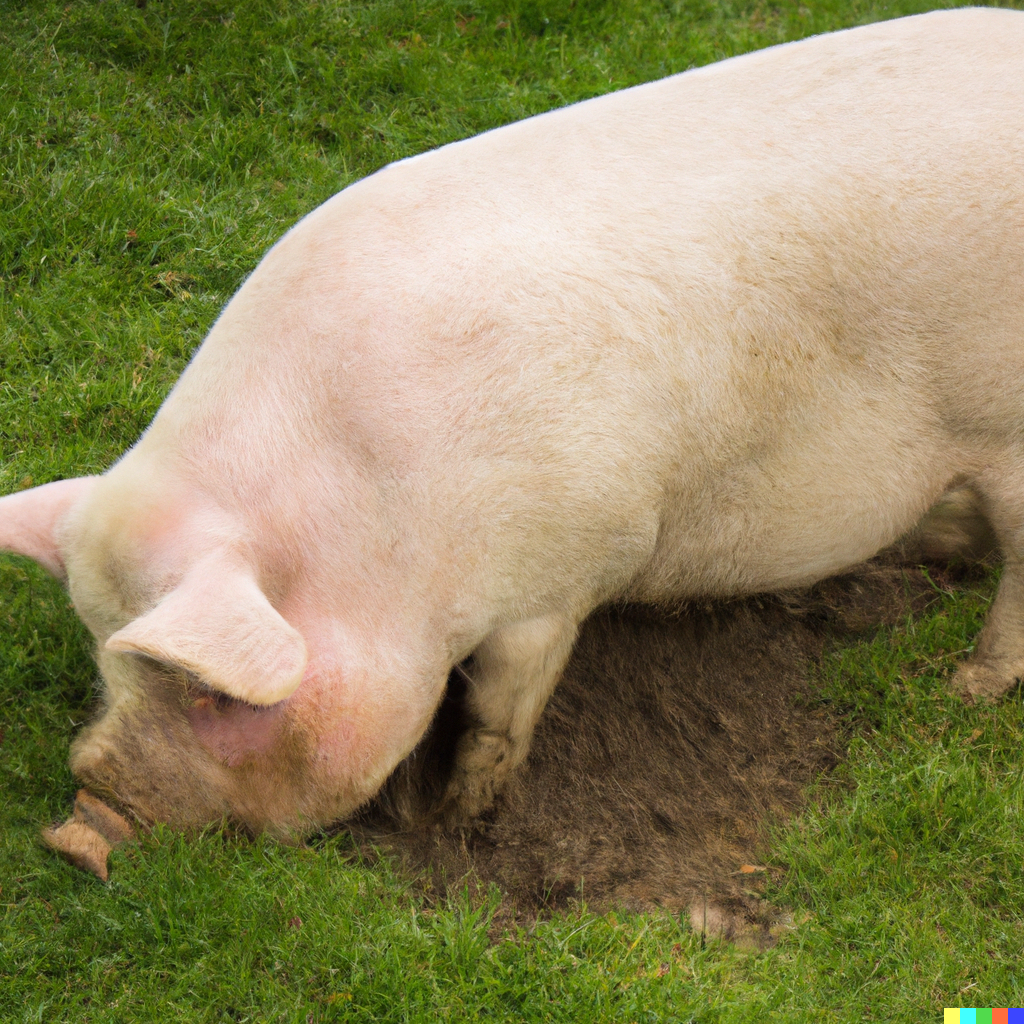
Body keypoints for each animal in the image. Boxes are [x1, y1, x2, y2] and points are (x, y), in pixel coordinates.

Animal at [2, 8, 1024, 870]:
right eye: (101, 650)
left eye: (215, 695)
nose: (75, 835)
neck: (376, 515)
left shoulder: (558, 577)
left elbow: (503, 708)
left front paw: (459, 821)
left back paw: (968, 686)